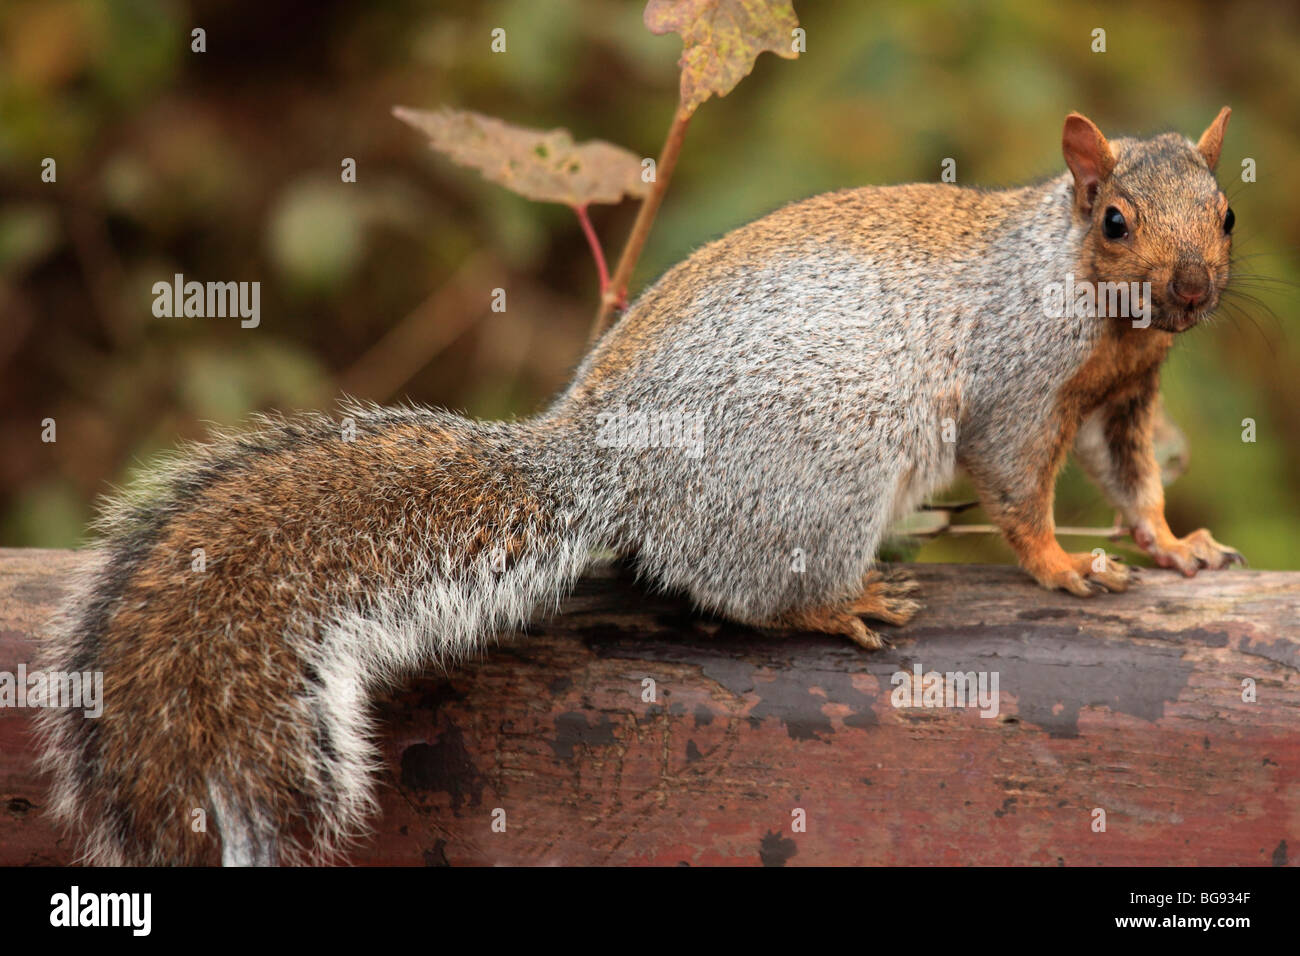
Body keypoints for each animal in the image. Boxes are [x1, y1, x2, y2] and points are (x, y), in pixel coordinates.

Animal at [36, 109, 1245, 866]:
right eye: (1114, 221)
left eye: (1229, 213)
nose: (1194, 290)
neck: (1093, 303)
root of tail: (609, 458)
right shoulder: (1016, 385)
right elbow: (1017, 489)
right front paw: (1061, 563)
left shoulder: (1129, 396)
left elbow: (1132, 478)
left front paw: (1171, 543)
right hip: (829, 464)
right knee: (746, 591)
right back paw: (840, 601)